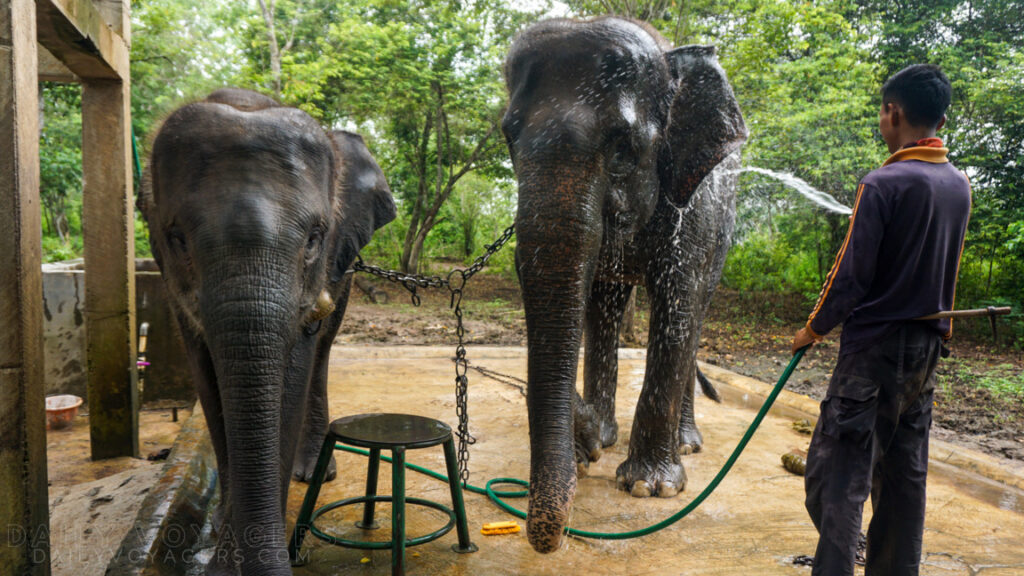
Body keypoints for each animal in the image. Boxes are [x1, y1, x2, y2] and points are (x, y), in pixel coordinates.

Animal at [138, 88, 396, 574]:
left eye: (314, 237)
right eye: (177, 239)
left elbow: (293, 371)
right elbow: (207, 379)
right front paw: (224, 531)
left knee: (323, 350)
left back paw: (313, 472)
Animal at [502, 17, 747, 552]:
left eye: (623, 148)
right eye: (509, 137)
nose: (591, 445)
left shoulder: (692, 209)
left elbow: (676, 304)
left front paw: (649, 487)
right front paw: (592, 439)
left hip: (723, 235)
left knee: (694, 315)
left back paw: (684, 445)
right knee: (606, 310)